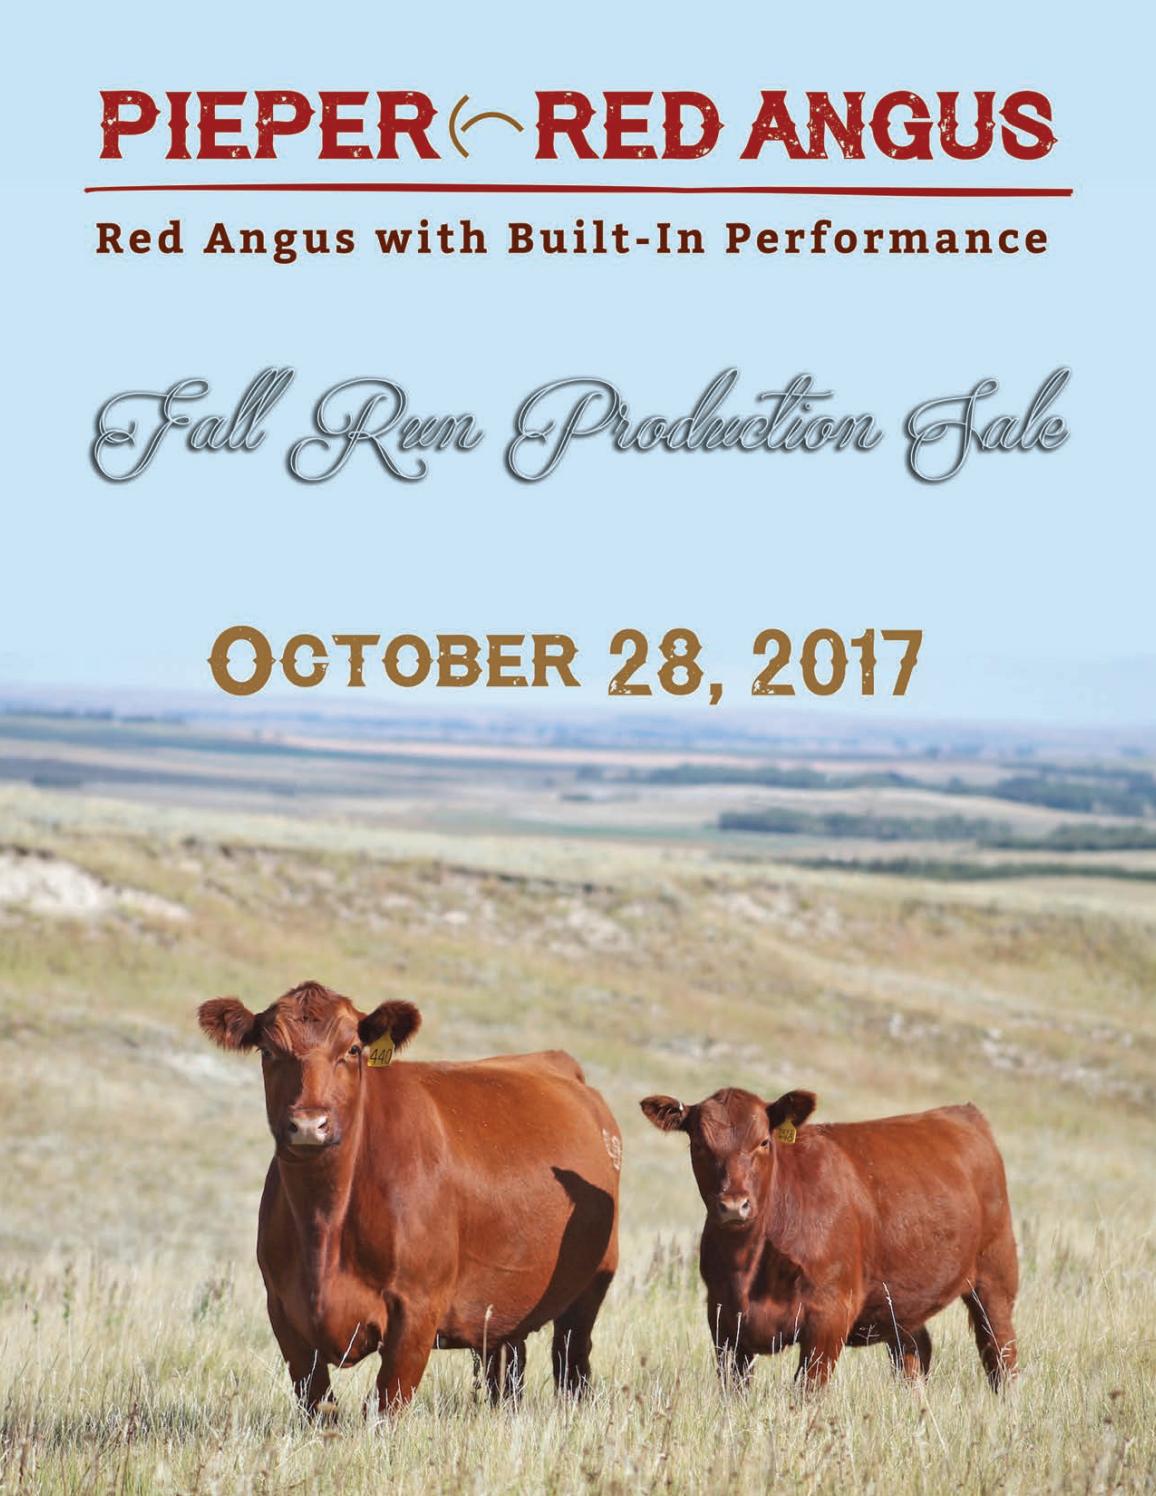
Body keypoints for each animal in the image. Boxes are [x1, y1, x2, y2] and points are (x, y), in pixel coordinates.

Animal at [198, 981, 620, 1415]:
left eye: (353, 1049)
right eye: (268, 1051)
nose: (309, 1124)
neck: (325, 1220)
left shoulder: (417, 1309)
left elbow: (386, 1406)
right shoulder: (283, 1311)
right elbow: (318, 1405)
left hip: (590, 1288)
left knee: (571, 1361)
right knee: (504, 1369)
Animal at [639, 1086, 1018, 1392]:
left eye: (763, 1142)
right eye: (699, 1144)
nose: (734, 1204)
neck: (750, 1263)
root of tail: (962, 1112)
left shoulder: (829, 1316)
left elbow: (807, 1392)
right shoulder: (724, 1323)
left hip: (995, 1276)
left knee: (1000, 1353)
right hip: (902, 1301)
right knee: (914, 1355)